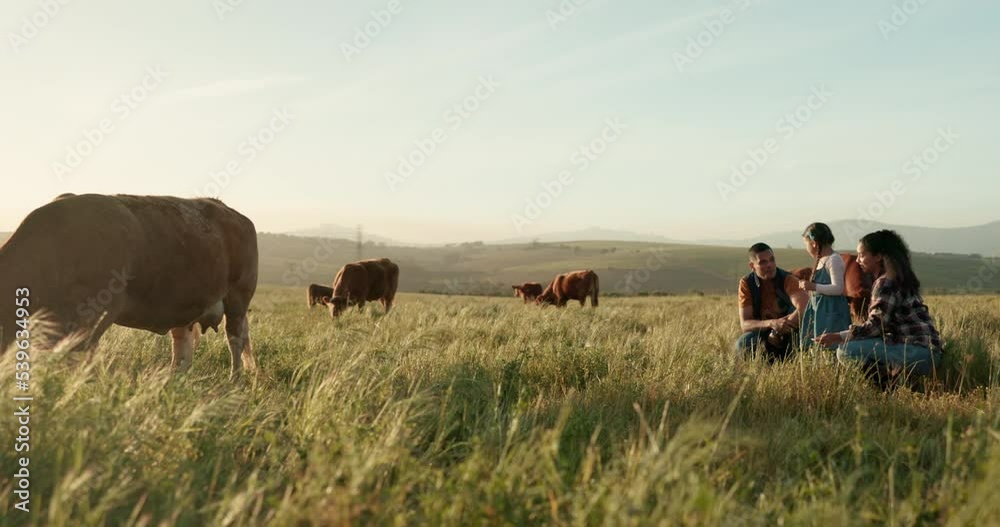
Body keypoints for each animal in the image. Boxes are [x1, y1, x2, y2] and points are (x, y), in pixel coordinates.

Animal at [0, 194, 259, 379]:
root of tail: (226, 208)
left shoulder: (99, 311)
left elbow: (80, 354)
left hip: (238, 297)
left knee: (234, 339)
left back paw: (234, 380)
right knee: (182, 347)